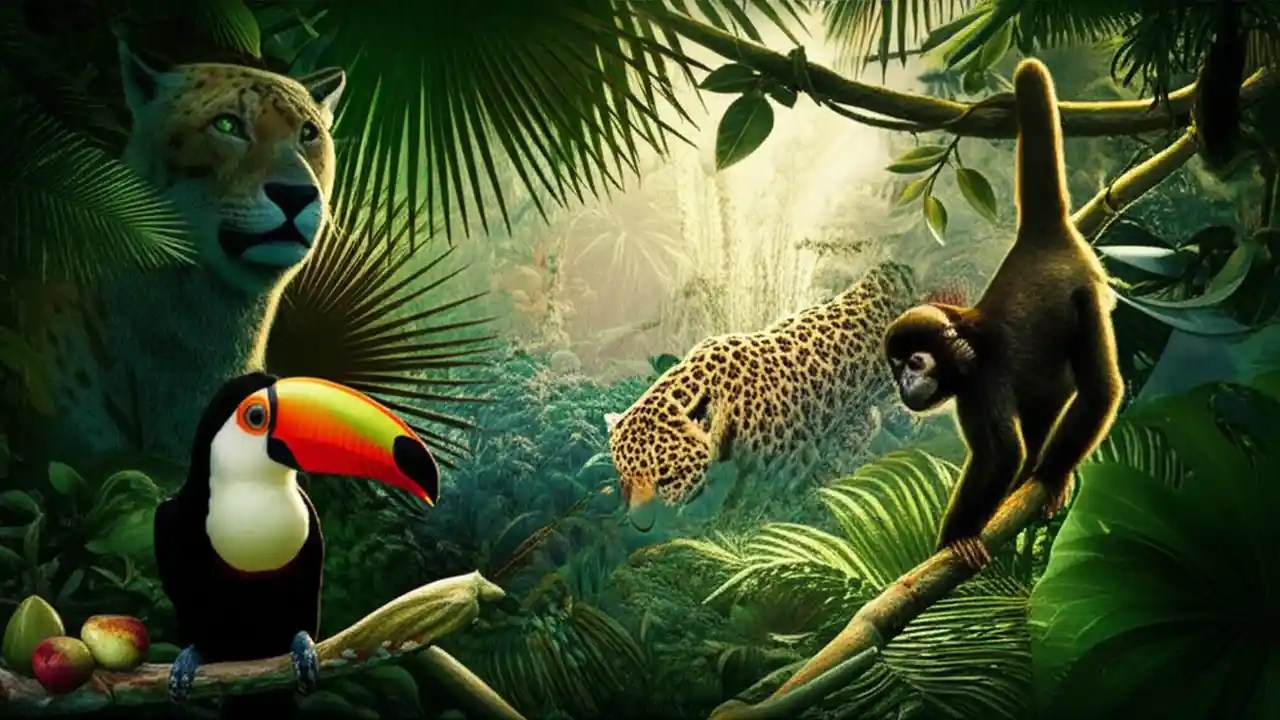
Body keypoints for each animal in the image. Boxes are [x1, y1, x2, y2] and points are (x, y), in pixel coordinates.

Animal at [881, 58, 1125, 571]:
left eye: (915, 362)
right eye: (895, 370)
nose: (905, 383)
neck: (968, 343)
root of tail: (1039, 237)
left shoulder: (982, 383)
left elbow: (1001, 455)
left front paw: (955, 540)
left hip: (1087, 291)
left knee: (1100, 389)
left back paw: (1050, 474)